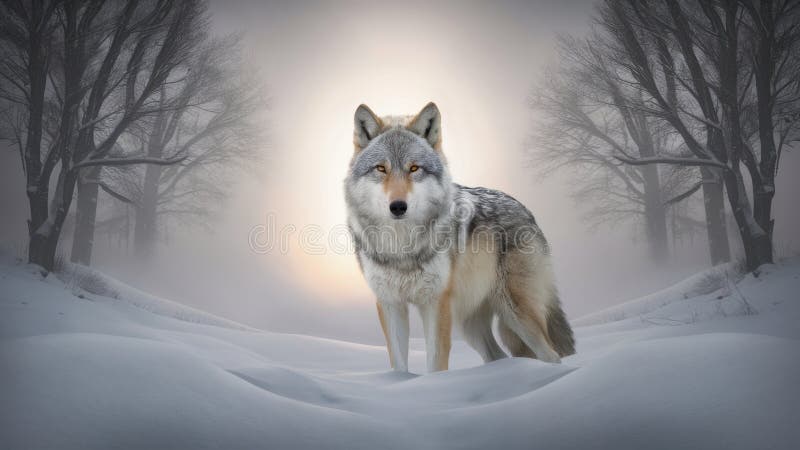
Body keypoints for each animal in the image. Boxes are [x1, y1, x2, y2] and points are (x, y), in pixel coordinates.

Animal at [344, 102, 575, 372]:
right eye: (381, 168)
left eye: (414, 168)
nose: (398, 206)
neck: (401, 246)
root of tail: (527, 211)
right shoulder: (390, 304)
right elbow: (399, 365)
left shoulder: (436, 303)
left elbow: (436, 364)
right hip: (471, 325)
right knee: (500, 356)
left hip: (516, 314)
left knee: (551, 355)